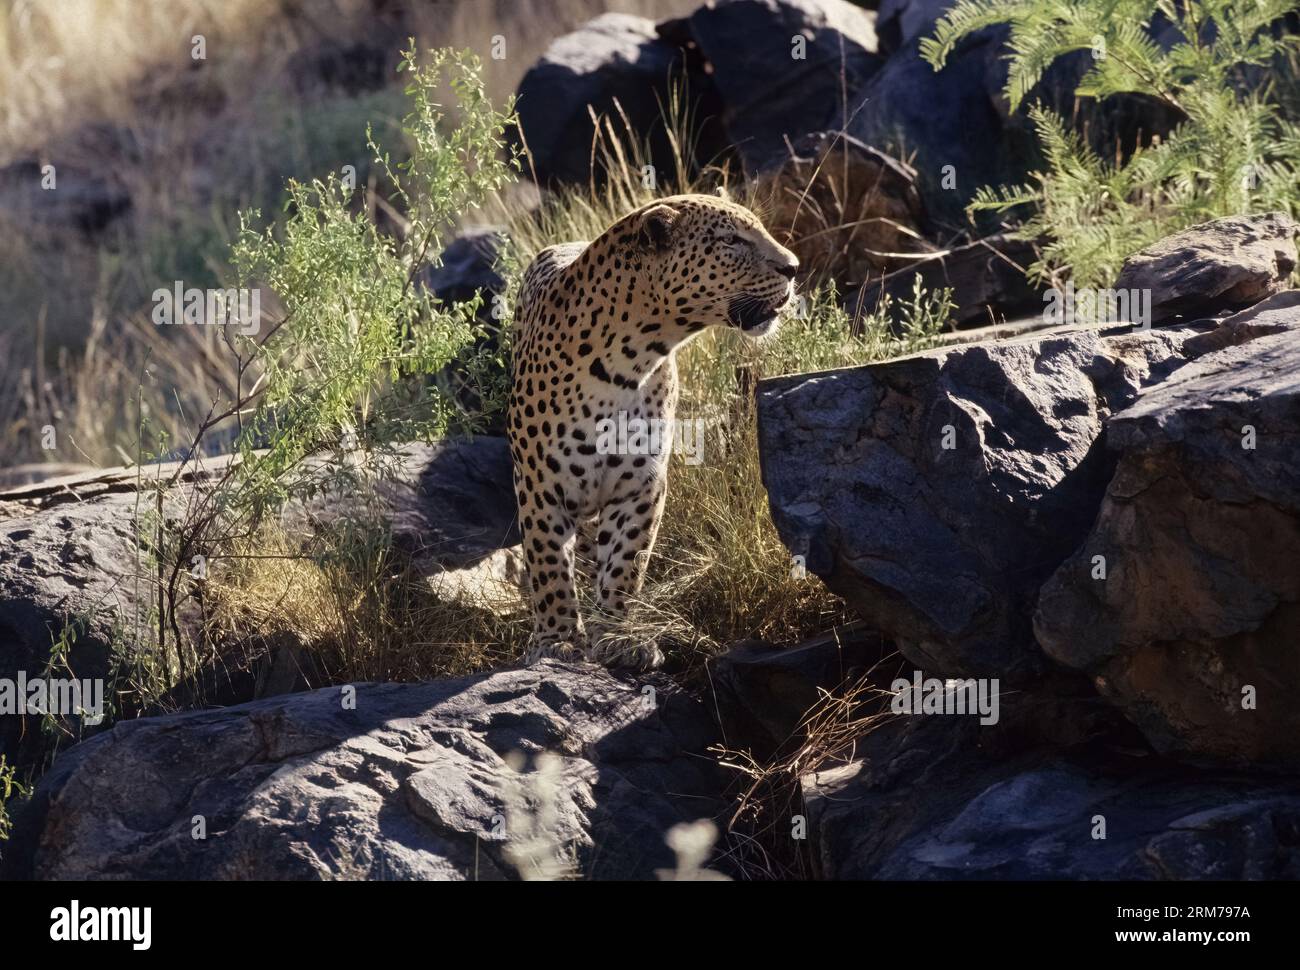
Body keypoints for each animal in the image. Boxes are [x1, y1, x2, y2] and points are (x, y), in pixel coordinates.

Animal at [507, 193, 798, 669]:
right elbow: (549, 564)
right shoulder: (540, 484)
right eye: (731, 240)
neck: (631, 360)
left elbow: (626, 560)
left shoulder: (641, 483)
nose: (793, 267)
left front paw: (618, 634)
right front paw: (558, 640)